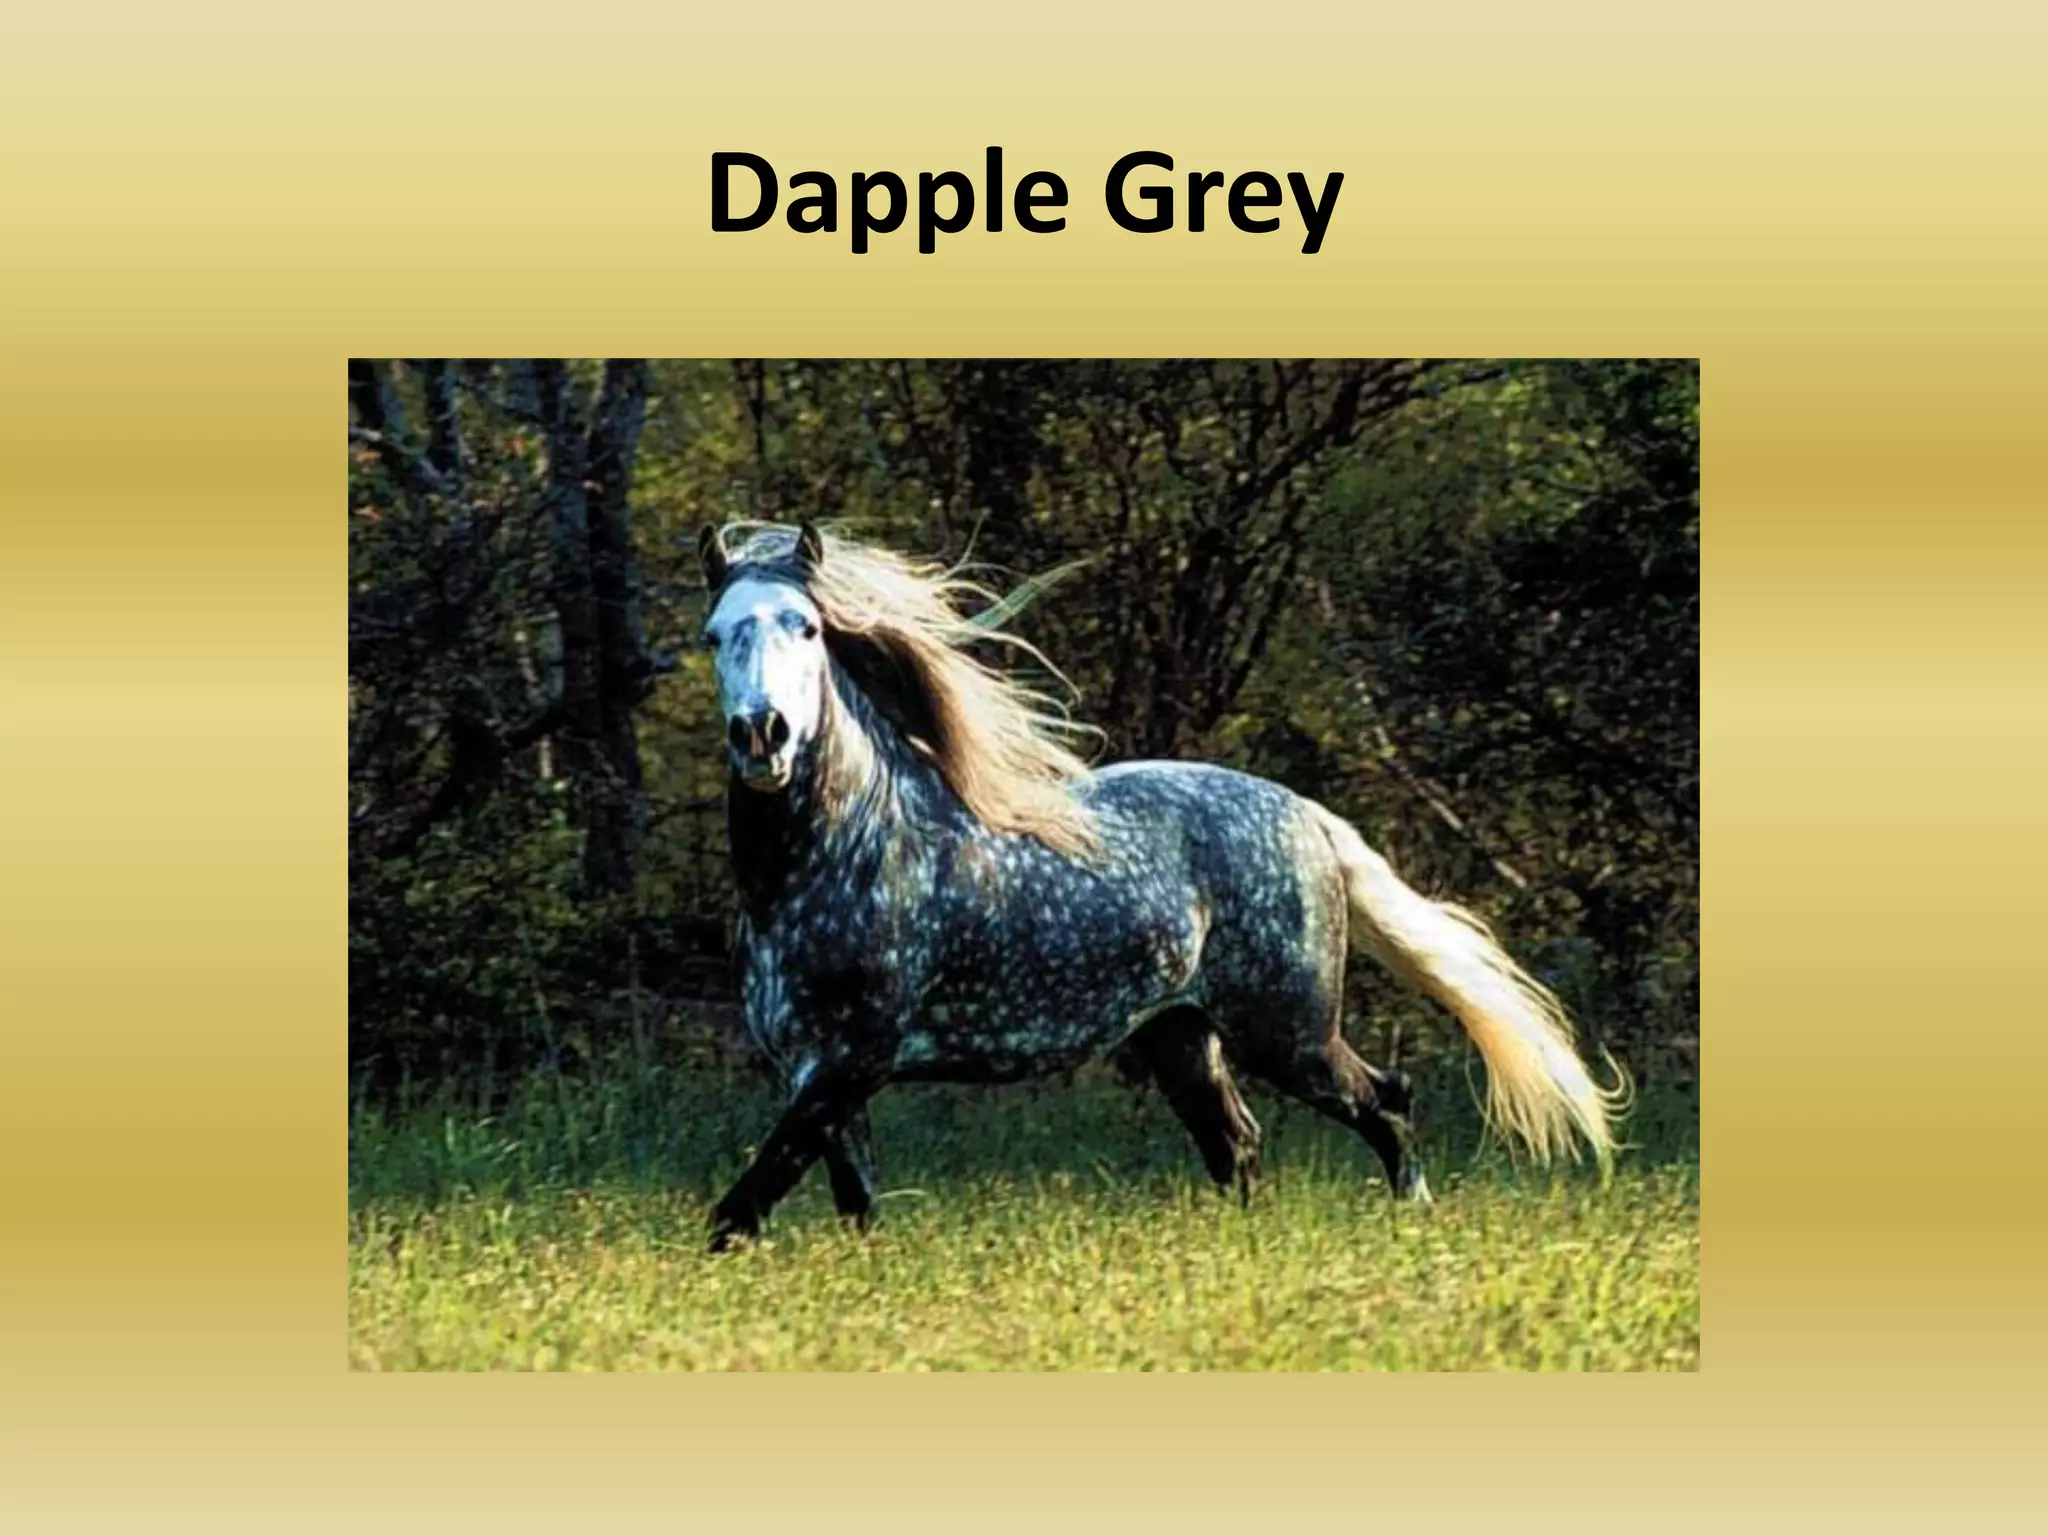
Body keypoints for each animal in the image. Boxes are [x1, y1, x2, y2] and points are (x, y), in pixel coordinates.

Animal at [695, 521, 1625, 1251]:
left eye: (808, 627)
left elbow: (739, 1209)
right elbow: (852, 1205)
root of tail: (1307, 815)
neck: (842, 858)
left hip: (1287, 1033)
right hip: (1181, 1036)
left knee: (1384, 1102)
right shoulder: (819, 1075)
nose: (762, 735)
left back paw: (1414, 1222)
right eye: (713, 633)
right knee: (1238, 1145)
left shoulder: (852, 1062)